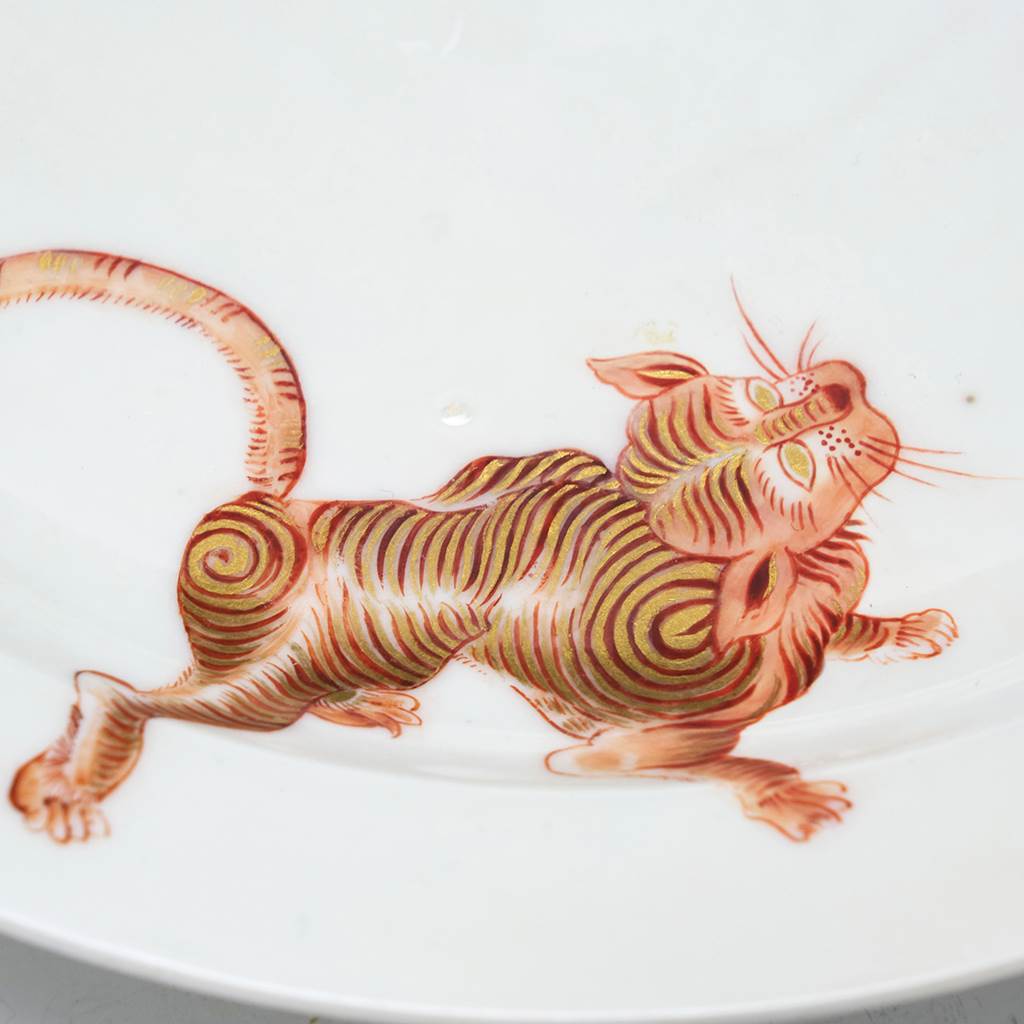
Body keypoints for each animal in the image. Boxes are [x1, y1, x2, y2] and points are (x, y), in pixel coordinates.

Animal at [2, 250, 957, 843]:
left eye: (768, 398)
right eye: (784, 447)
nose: (841, 384)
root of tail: (269, 510)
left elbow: (849, 622)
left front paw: (903, 630)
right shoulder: (610, 749)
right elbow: (707, 763)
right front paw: (783, 793)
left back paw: (362, 708)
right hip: (272, 679)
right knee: (125, 691)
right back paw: (79, 775)